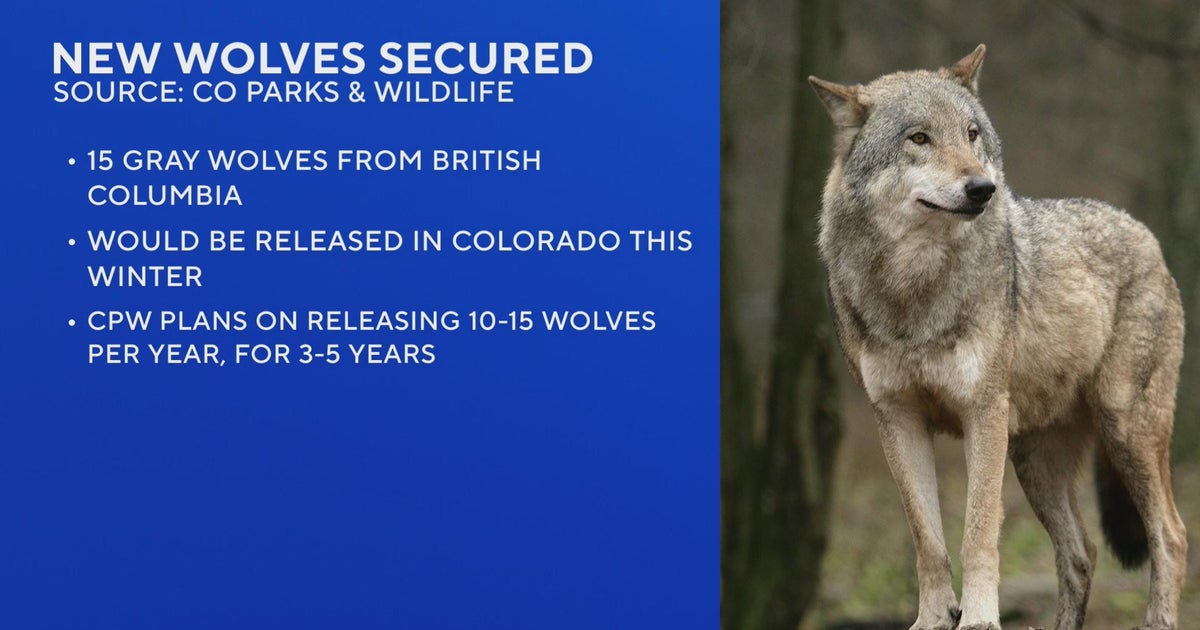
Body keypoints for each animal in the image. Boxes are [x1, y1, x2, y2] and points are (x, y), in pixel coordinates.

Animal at [809, 45, 1187, 630]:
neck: (914, 289)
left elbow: (979, 531)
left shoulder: (982, 409)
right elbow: (928, 541)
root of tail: (1145, 233)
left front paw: (980, 617)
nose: (982, 188)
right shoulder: (896, 417)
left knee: (1170, 535)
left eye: (971, 134)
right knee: (1081, 552)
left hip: (1125, 428)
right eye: (919, 138)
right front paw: (934, 618)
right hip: (1037, 460)